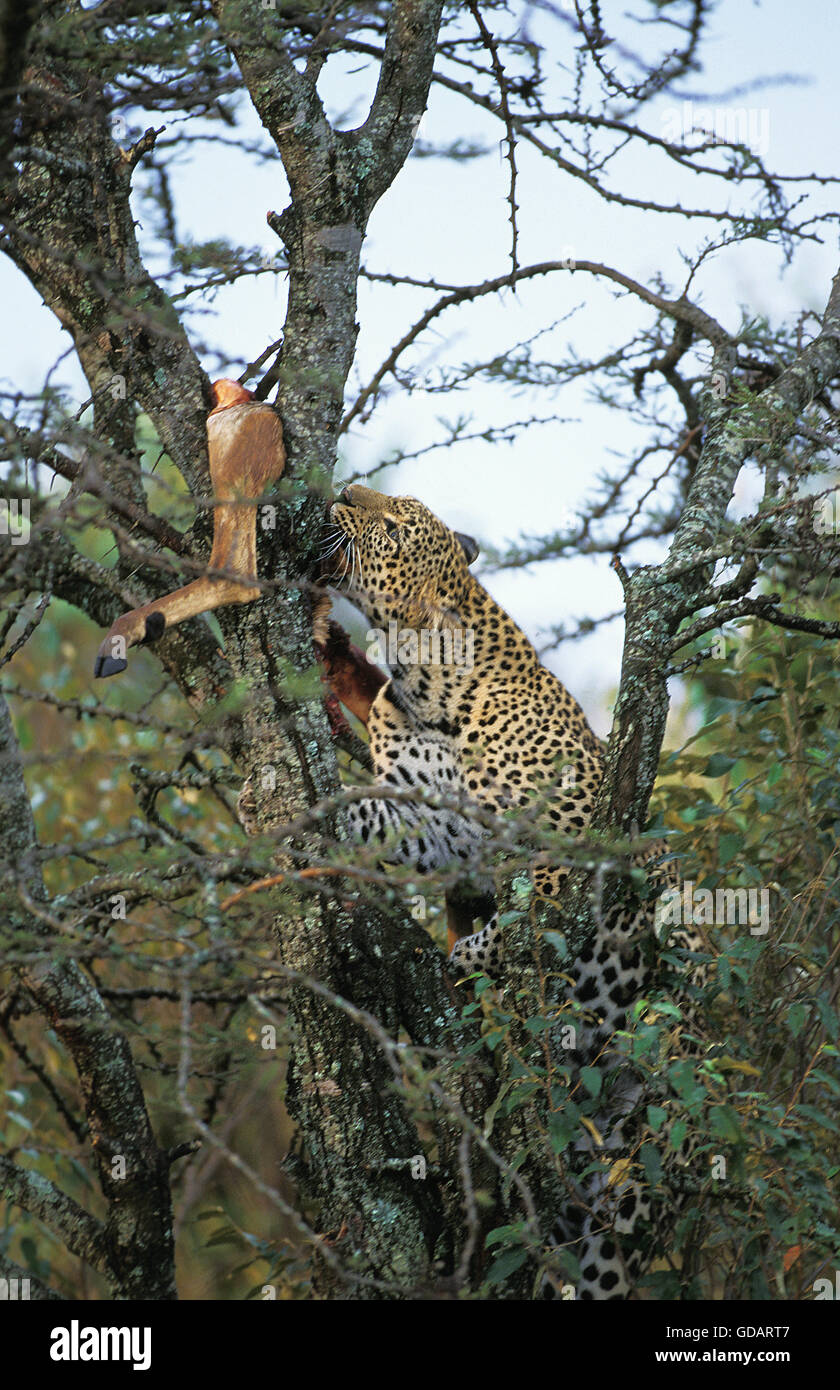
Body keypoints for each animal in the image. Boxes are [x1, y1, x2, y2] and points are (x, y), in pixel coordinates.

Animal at [316, 483, 708, 1299]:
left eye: (392, 524)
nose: (341, 491)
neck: (427, 684)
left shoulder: (576, 834)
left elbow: (536, 915)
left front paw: (470, 958)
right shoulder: (430, 825)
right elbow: (372, 818)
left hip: (636, 1179)